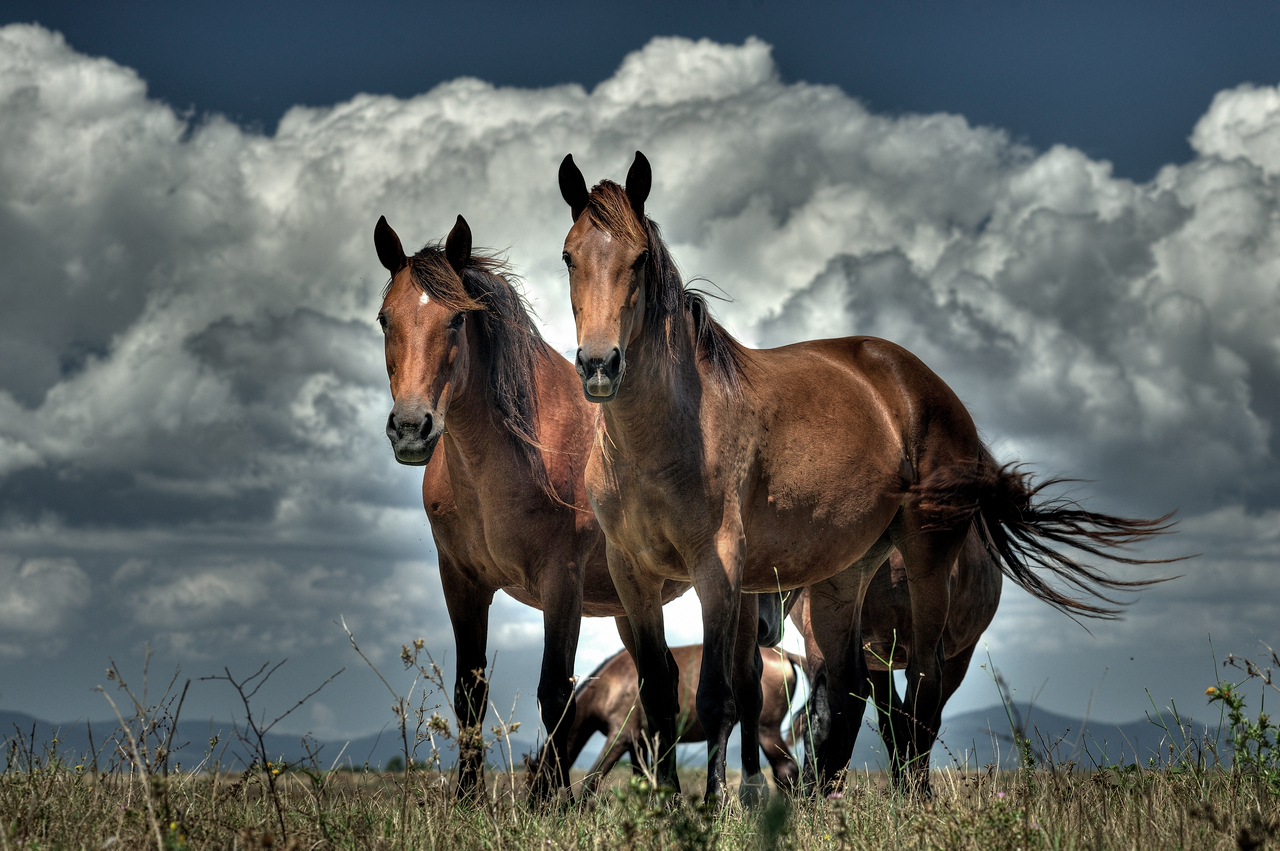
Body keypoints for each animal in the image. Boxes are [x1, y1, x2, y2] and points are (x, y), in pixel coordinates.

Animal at [374, 214, 698, 800]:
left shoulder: (560, 581)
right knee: (660, 683)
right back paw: (668, 794)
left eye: (457, 319)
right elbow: (470, 691)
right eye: (386, 319)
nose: (411, 429)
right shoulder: (461, 581)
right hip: (632, 605)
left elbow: (555, 692)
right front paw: (469, 797)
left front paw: (549, 800)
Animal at [527, 643, 805, 796]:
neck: (610, 685)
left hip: (765, 729)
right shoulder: (638, 743)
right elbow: (641, 780)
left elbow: (591, 781)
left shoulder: (620, 738)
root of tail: (783, 654)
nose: (532, 810)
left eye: (536, 777)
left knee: (787, 772)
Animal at [556, 151, 1175, 802]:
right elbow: (658, 696)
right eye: (569, 255)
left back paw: (911, 797)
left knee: (921, 693)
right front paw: (669, 804)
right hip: (843, 577)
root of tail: (924, 385)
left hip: (928, 563)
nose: (599, 365)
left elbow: (716, 696)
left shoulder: (718, 569)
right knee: (852, 693)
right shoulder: (634, 575)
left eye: (639, 258)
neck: (667, 435)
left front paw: (711, 807)